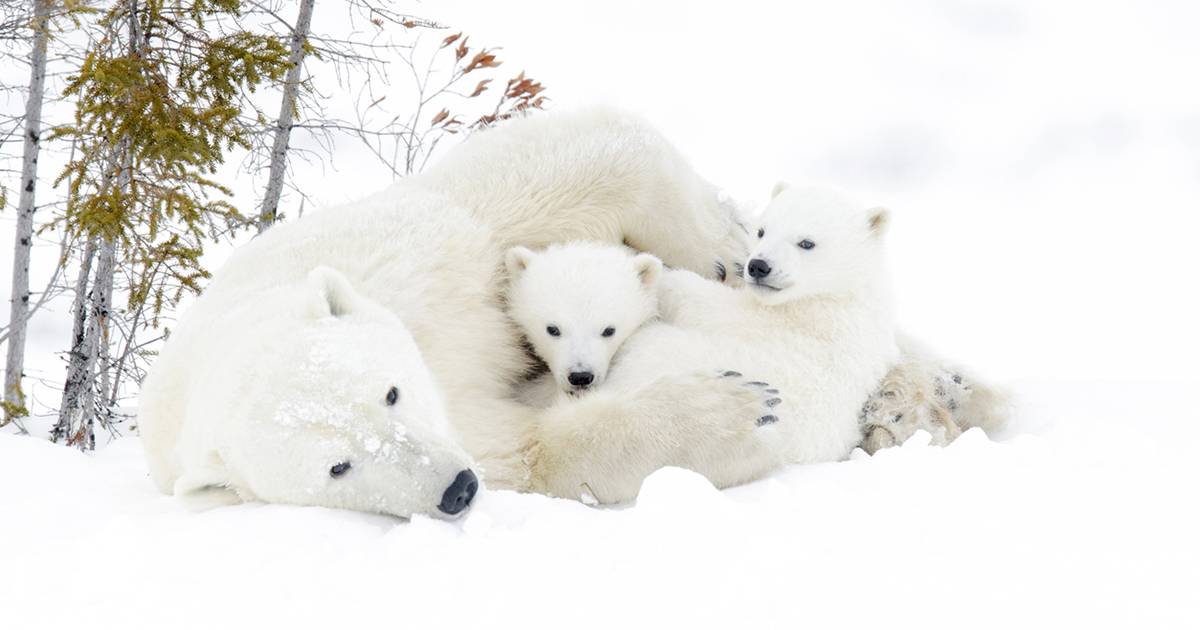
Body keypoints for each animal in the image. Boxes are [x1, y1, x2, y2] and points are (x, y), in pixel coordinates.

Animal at [525, 184, 900, 504]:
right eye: (762, 230)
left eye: (806, 242)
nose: (758, 265)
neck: (848, 294)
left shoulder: (801, 320)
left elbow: (711, 305)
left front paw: (661, 280)